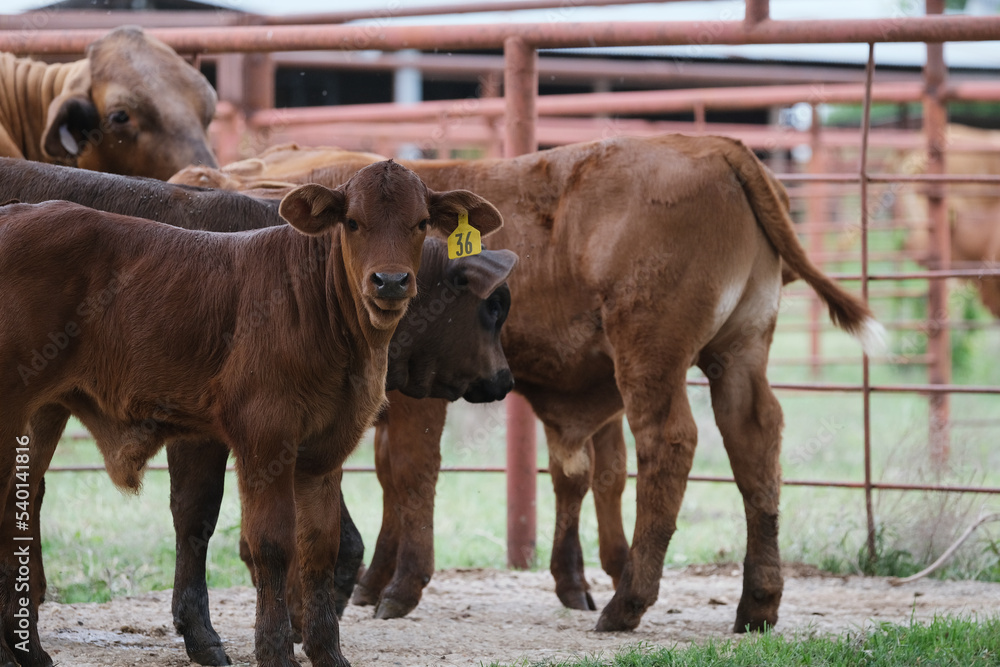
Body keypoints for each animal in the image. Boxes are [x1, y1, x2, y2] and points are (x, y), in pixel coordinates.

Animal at [0, 157, 515, 666]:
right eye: (352, 222)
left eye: (421, 221)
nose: (390, 281)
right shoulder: (261, 439)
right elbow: (265, 542)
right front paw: (272, 647)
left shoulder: (325, 451)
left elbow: (320, 545)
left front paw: (325, 650)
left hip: (41, 414)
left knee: (18, 506)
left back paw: (29, 651)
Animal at [171, 135, 885, 635]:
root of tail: (715, 148)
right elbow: (390, 475)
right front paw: (376, 580)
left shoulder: (414, 388)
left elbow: (409, 471)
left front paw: (399, 587)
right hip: (740, 353)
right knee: (754, 442)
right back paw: (757, 602)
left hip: (650, 355)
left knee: (670, 443)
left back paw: (628, 602)